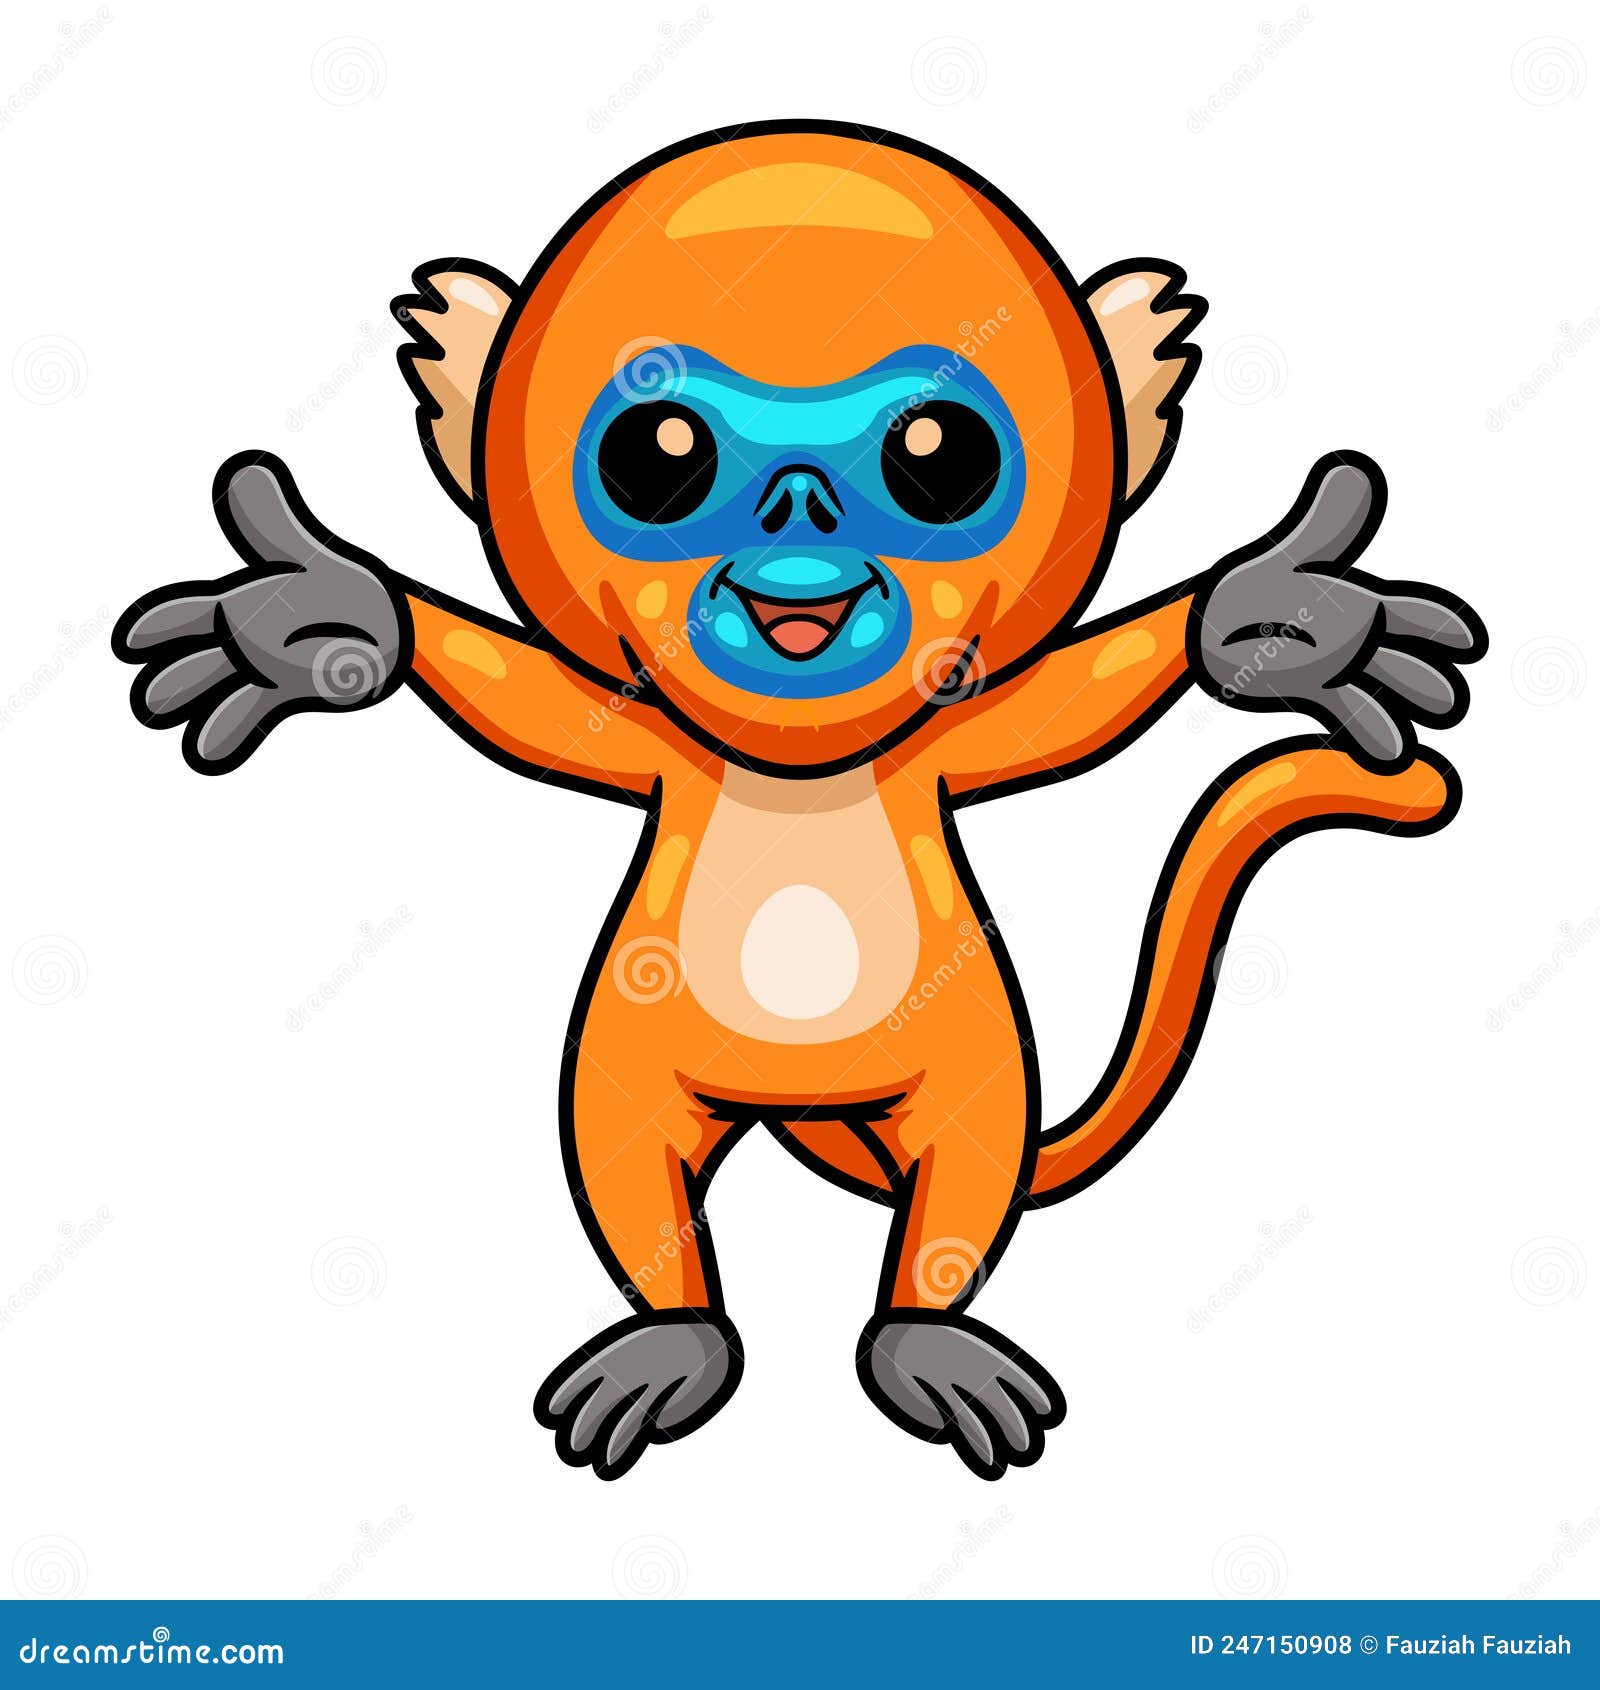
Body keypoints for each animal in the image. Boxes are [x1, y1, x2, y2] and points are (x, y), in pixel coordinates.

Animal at [112, 123, 1485, 1480]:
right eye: (659, 457)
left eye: (938, 456)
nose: (798, 503)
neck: (799, 762)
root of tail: (799, 1106)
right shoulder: (652, 742)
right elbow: (525, 700)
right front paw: (323, 619)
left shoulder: (946, 740)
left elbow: (1071, 703)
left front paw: (1273, 620)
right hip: (636, 1069)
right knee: (631, 1171)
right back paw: (673, 1339)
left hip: (966, 1071)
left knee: (960, 1184)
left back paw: (924, 1339)